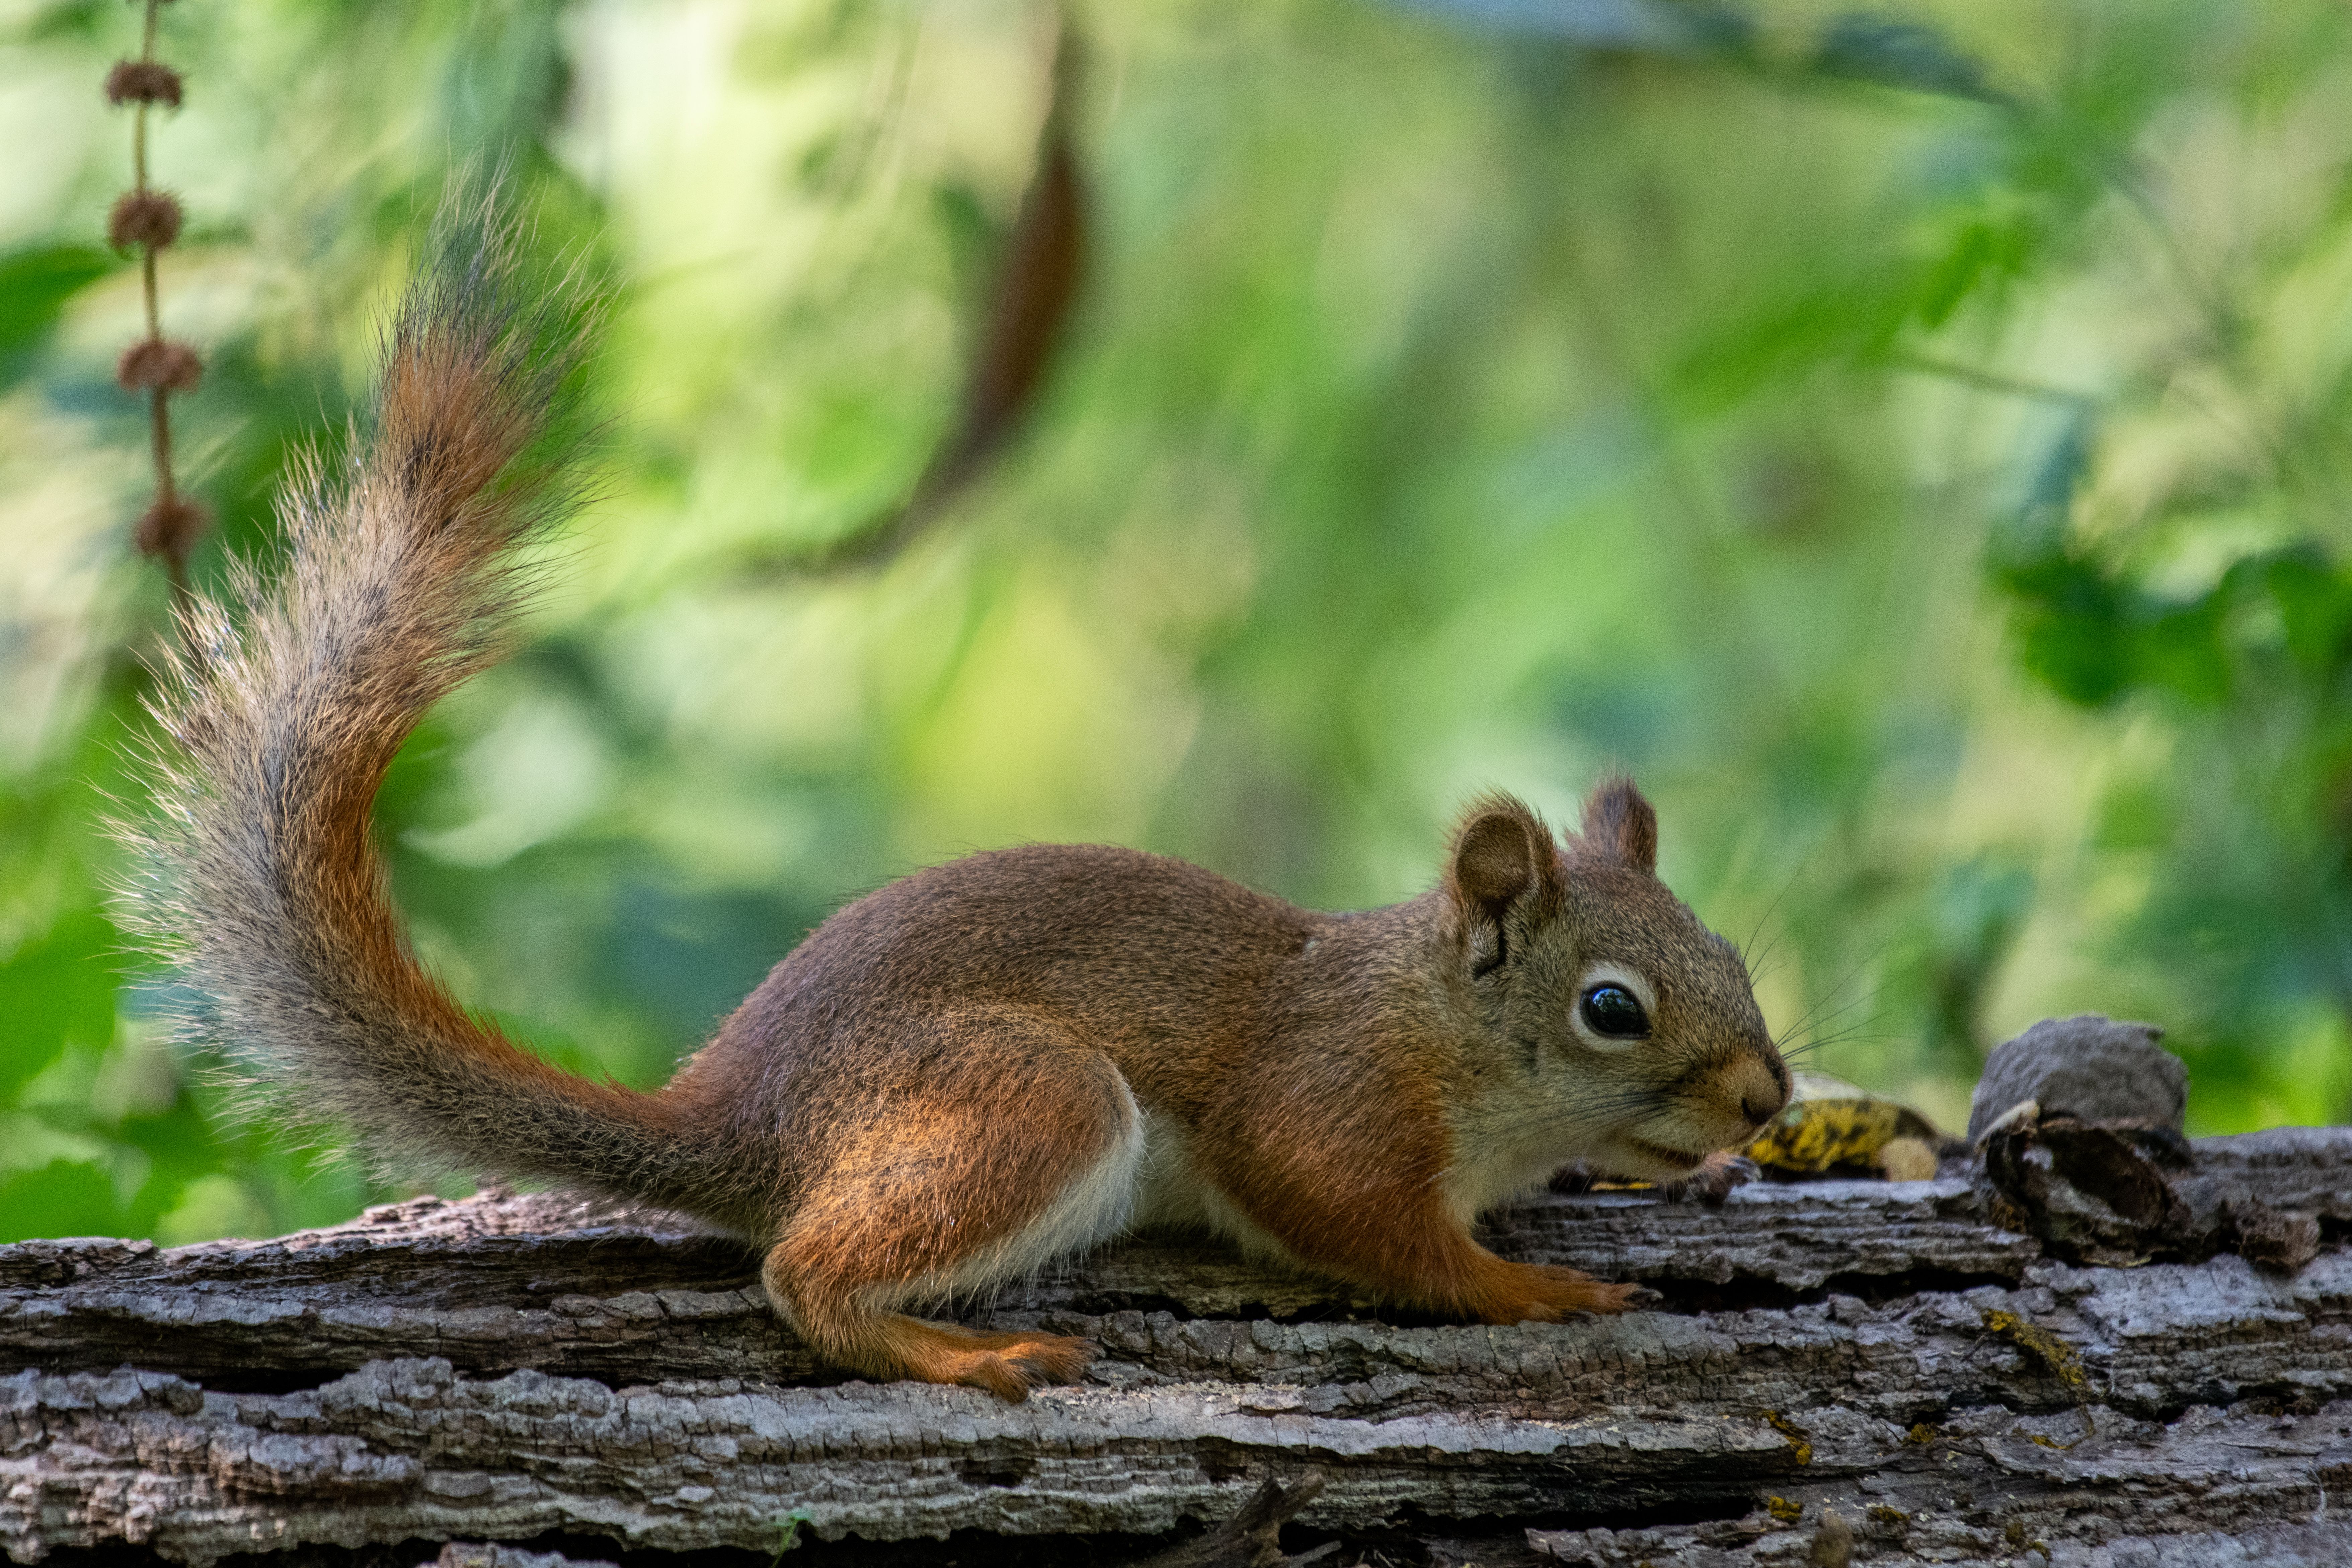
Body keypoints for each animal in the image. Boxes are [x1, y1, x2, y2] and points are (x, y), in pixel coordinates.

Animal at [130, 215, 1790, 1403]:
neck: (1437, 1023)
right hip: (1026, 1097)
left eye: (1731, 956)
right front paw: (1539, 1288)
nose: (1766, 1104)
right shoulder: (1327, 1103)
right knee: (804, 1276)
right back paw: (965, 1351)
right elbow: (1369, 1226)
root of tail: (742, 1115)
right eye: (1611, 1009)